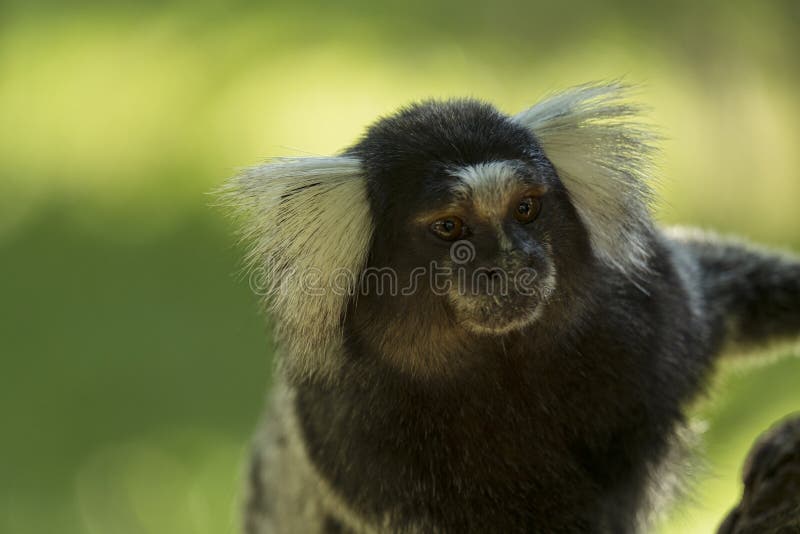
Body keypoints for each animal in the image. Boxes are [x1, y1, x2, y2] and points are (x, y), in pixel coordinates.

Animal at [220, 82, 800, 533]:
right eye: (450, 227)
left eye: (525, 209)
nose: (513, 262)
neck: (505, 366)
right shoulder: (349, 434)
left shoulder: (656, 306)